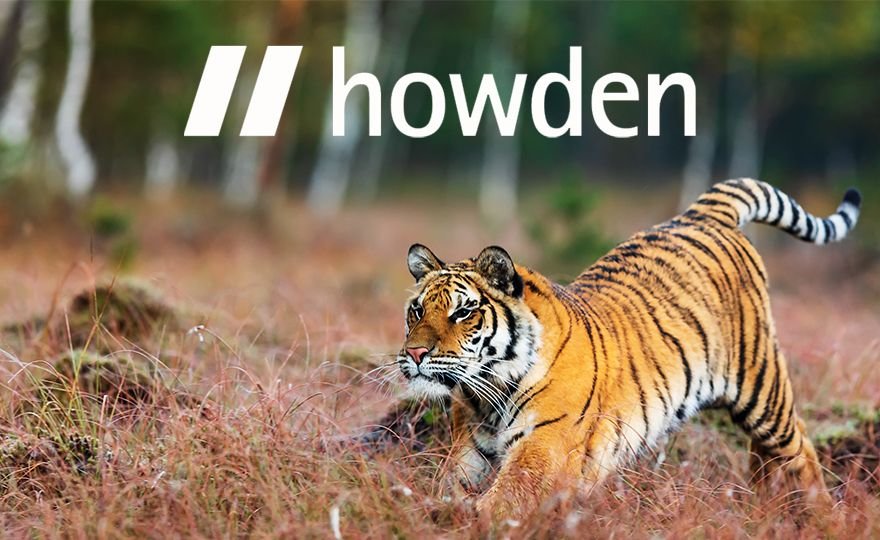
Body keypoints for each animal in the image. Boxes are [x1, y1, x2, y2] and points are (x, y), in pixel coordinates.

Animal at [397, 178, 862, 520]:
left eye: (463, 312)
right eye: (417, 311)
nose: (416, 355)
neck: (490, 389)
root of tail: (702, 213)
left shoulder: (542, 449)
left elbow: (502, 502)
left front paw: (461, 518)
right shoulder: (469, 448)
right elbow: (448, 484)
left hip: (761, 387)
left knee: (800, 446)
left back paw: (821, 517)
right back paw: (761, 505)